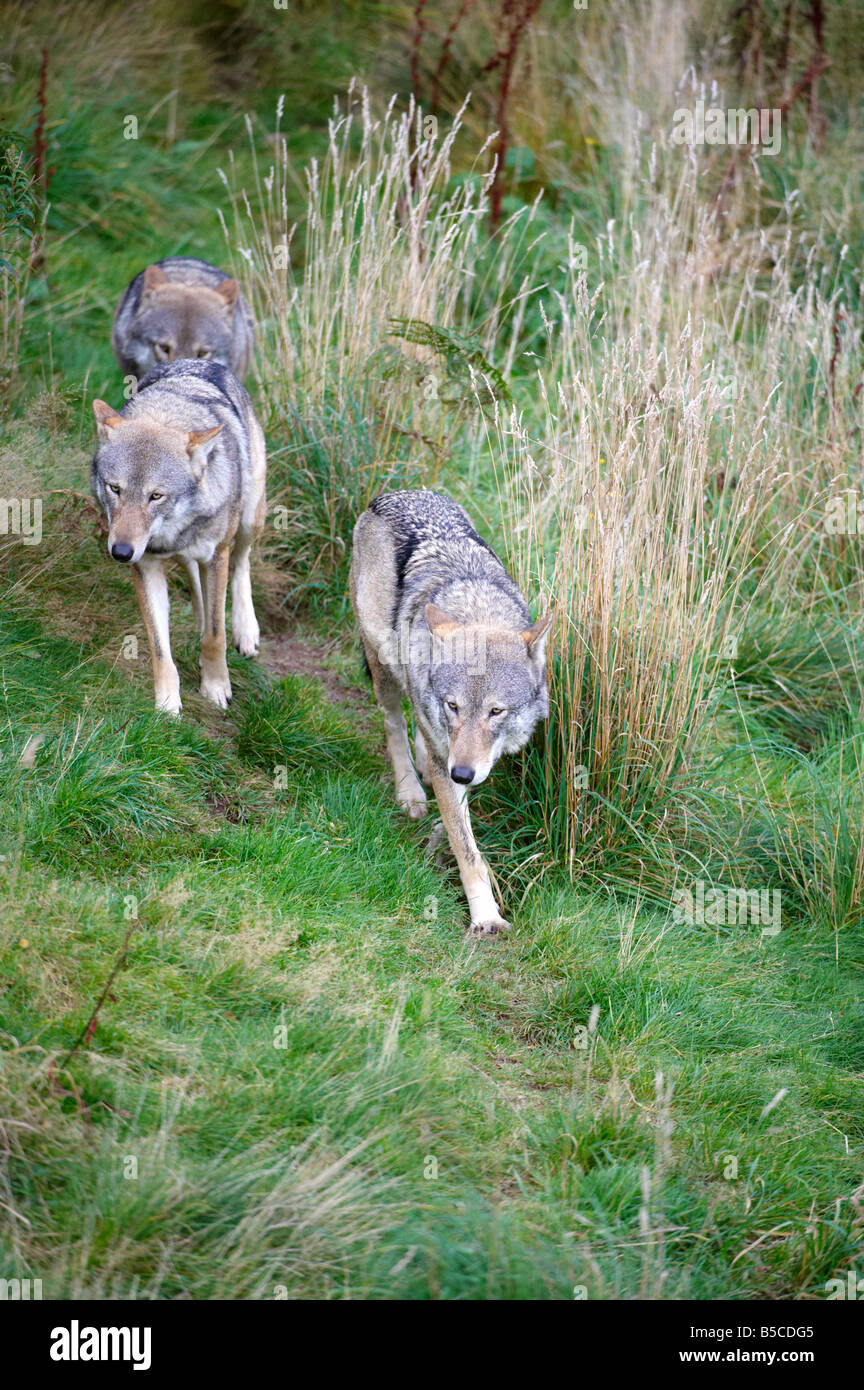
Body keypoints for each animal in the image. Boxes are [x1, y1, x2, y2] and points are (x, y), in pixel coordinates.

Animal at [91, 359, 266, 715]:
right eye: (115, 488)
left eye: (156, 496)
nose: (121, 552)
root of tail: (204, 361)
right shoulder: (146, 567)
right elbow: (160, 648)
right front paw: (167, 705)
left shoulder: (216, 556)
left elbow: (216, 635)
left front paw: (216, 688)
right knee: (198, 584)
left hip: (249, 519)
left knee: (241, 564)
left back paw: (246, 630)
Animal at [350, 488, 552, 935]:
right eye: (454, 705)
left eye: (496, 711)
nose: (461, 773)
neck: (476, 608)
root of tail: (393, 494)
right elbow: (467, 849)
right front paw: (485, 916)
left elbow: (459, 822)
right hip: (382, 666)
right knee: (394, 722)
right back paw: (410, 789)